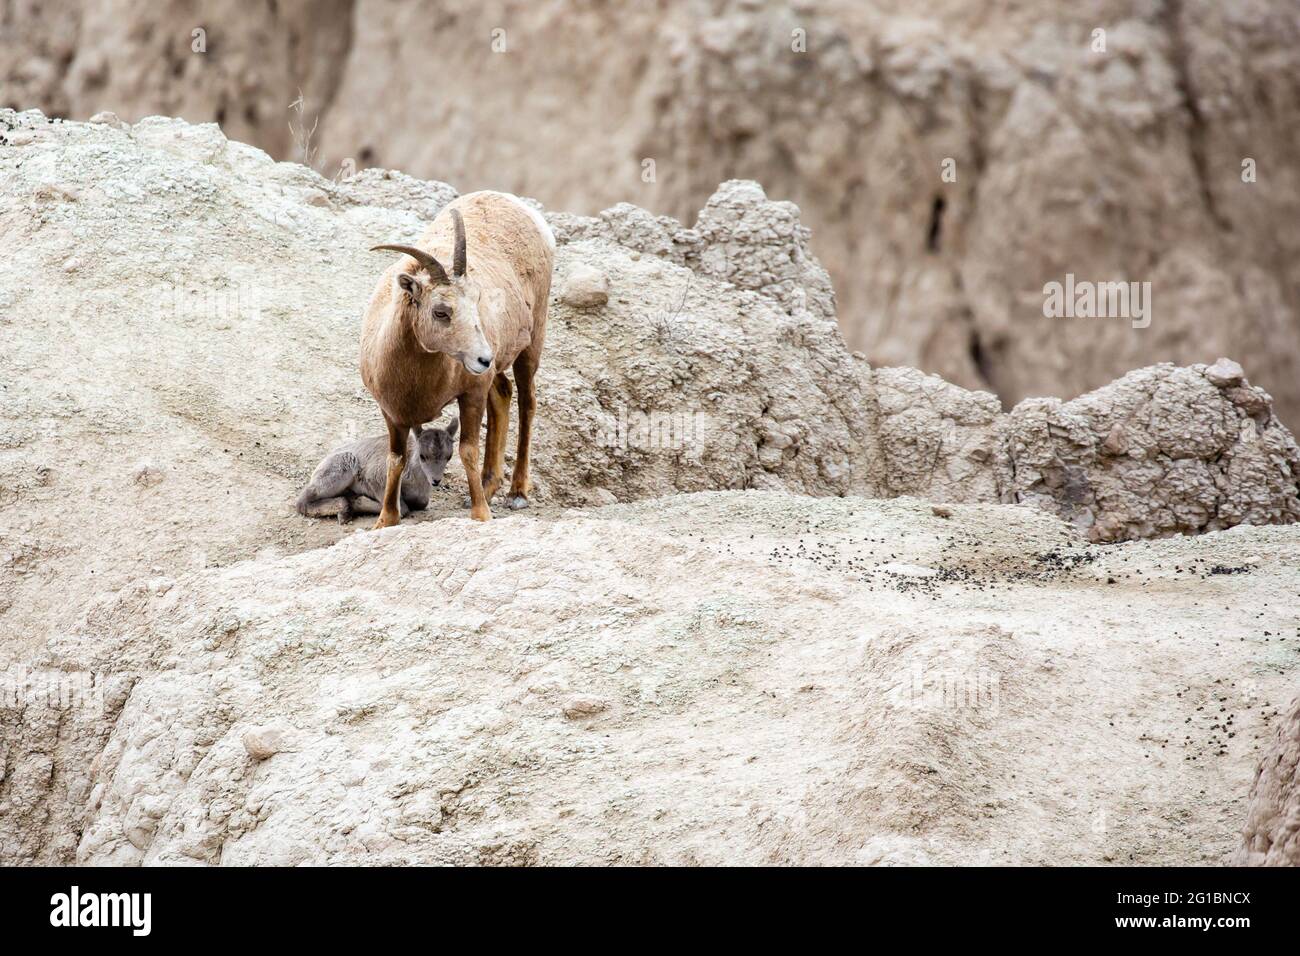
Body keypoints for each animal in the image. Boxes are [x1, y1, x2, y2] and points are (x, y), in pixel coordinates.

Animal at [296, 419, 458, 524]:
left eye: (449, 456)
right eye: (422, 456)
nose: (436, 480)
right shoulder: (376, 480)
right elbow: (401, 509)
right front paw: (358, 501)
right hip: (343, 468)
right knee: (302, 500)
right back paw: (345, 511)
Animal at [361, 190, 555, 527]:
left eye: (475, 302)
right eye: (441, 312)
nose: (483, 359)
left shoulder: (471, 394)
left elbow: (467, 450)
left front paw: (481, 514)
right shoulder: (391, 412)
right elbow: (396, 459)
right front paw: (385, 520)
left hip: (530, 346)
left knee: (527, 403)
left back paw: (517, 493)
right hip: (494, 371)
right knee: (503, 395)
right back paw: (490, 487)